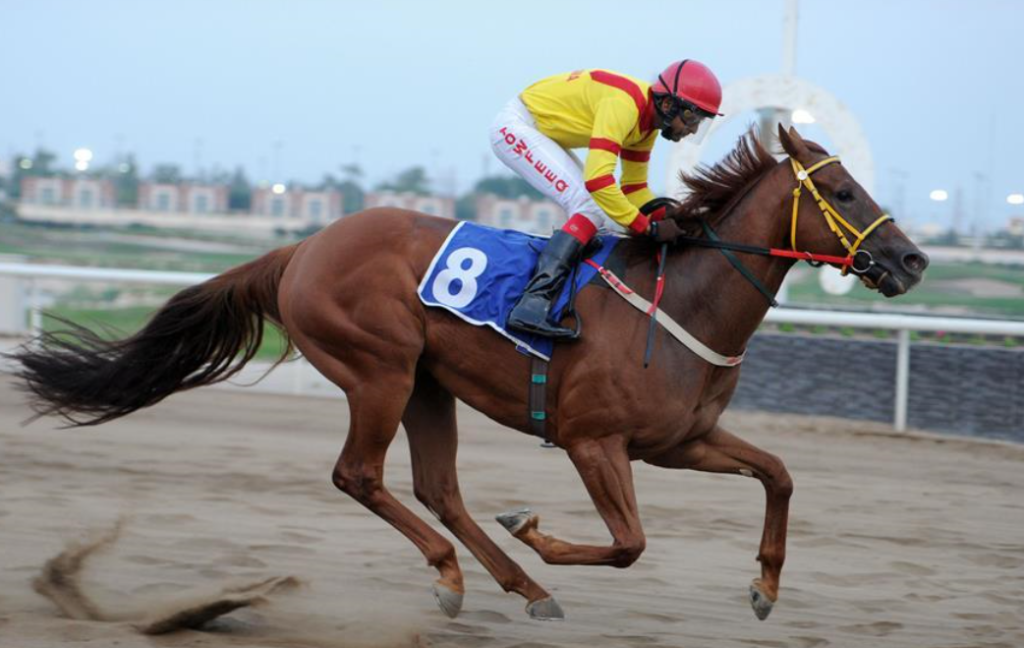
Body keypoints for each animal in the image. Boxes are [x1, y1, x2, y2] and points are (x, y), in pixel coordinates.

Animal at [9, 125, 928, 623]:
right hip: (378, 369)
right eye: (845, 190)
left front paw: (766, 586)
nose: (913, 259)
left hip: (426, 382)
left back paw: (515, 586)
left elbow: (779, 473)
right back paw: (469, 573)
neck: (687, 305)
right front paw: (534, 527)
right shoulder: (594, 442)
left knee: (437, 488)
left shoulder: (682, 440)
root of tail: (302, 246)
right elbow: (629, 544)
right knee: (360, 476)